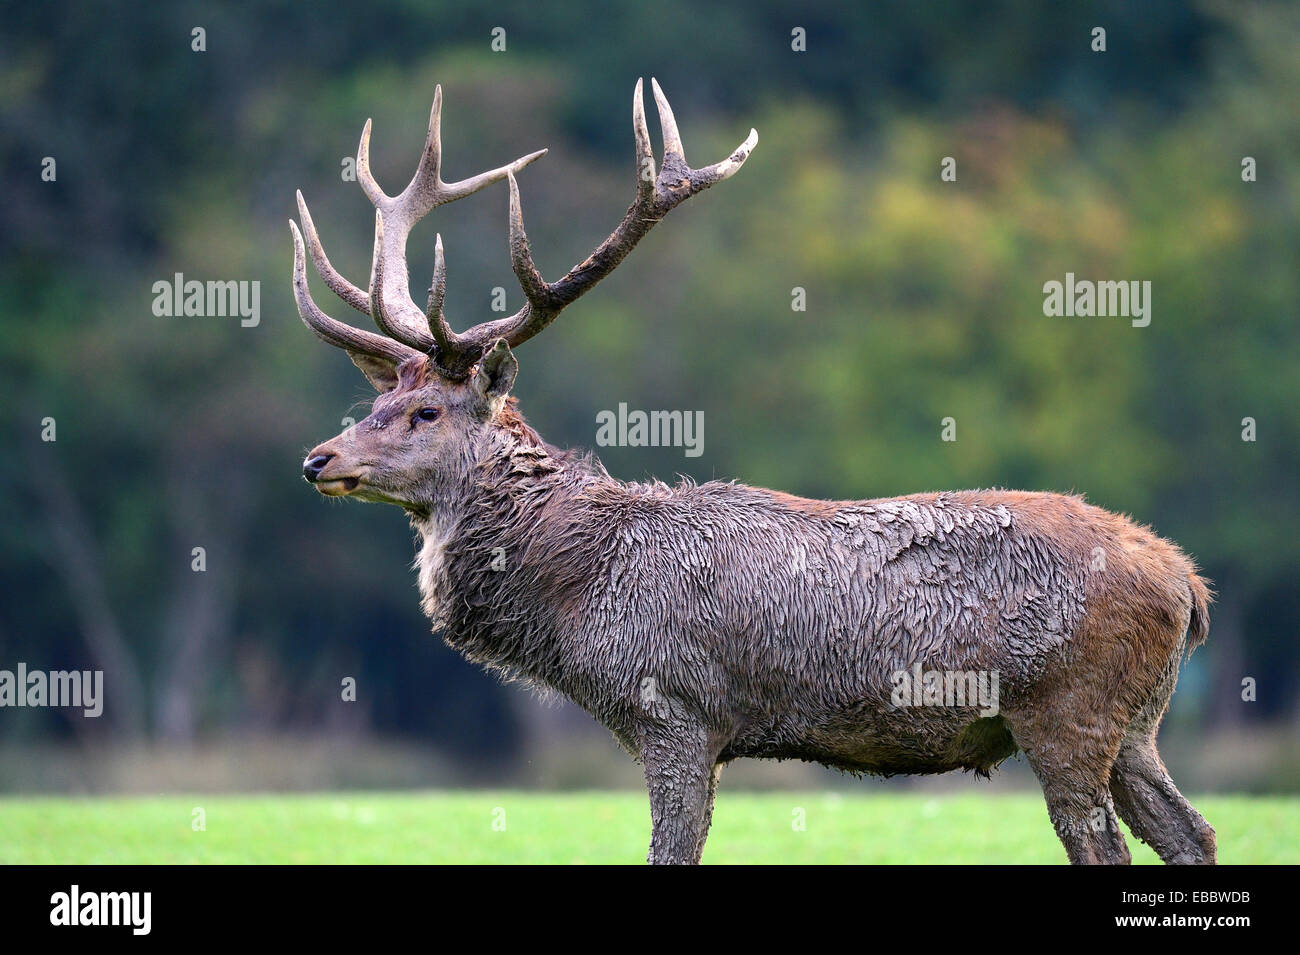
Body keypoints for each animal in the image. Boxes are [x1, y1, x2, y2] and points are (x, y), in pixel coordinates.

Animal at [289, 79, 1216, 865]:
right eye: (377, 398)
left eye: (426, 412)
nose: (317, 458)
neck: (576, 588)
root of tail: (1188, 584)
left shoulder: (674, 707)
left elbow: (671, 851)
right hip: (1137, 724)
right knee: (1193, 830)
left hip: (1067, 708)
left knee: (1103, 845)